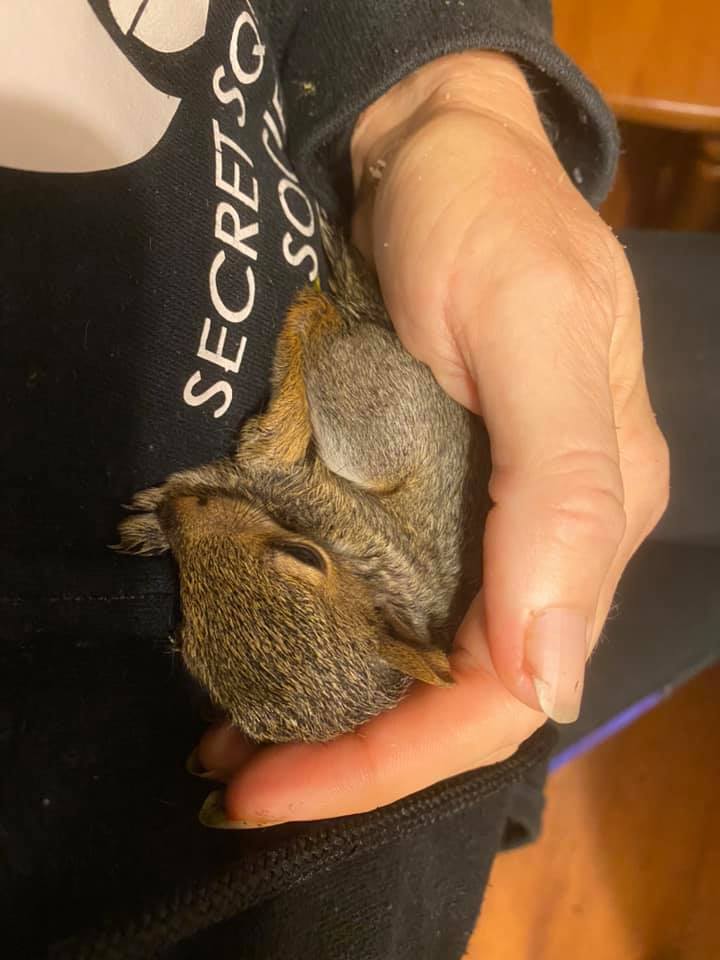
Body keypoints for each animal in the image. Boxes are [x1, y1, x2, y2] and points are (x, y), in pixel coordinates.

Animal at [115, 220, 491, 742]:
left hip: (363, 426)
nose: (179, 514)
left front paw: (159, 516)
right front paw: (157, 521)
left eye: (303, 556)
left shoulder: (302, 491)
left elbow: (259, 452)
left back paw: (309, 314)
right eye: (186, 646)